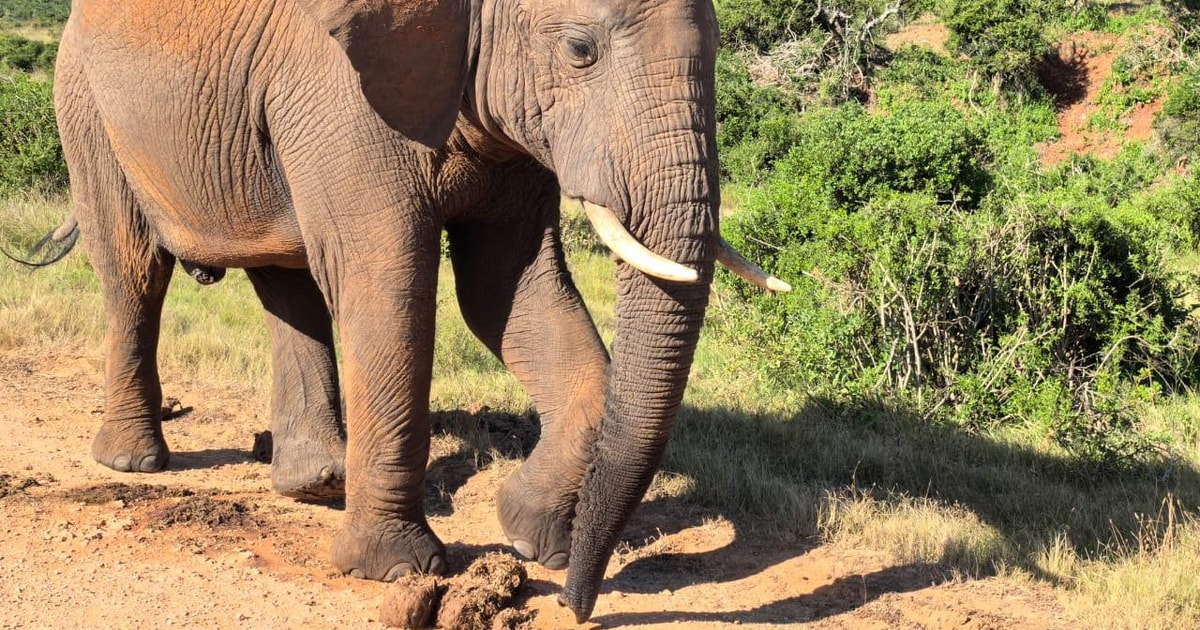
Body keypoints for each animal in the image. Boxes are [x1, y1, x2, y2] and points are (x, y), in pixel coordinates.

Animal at [45, 0, 788, 621]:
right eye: (581, 50)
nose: (574, 602)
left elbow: (506, 292)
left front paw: (530, 535)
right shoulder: (339, 95)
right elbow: (388, 286)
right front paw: (397, 570)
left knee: (284, 280)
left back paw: (318, 480)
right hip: (84, 101)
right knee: (135, 272)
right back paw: (134, 463)